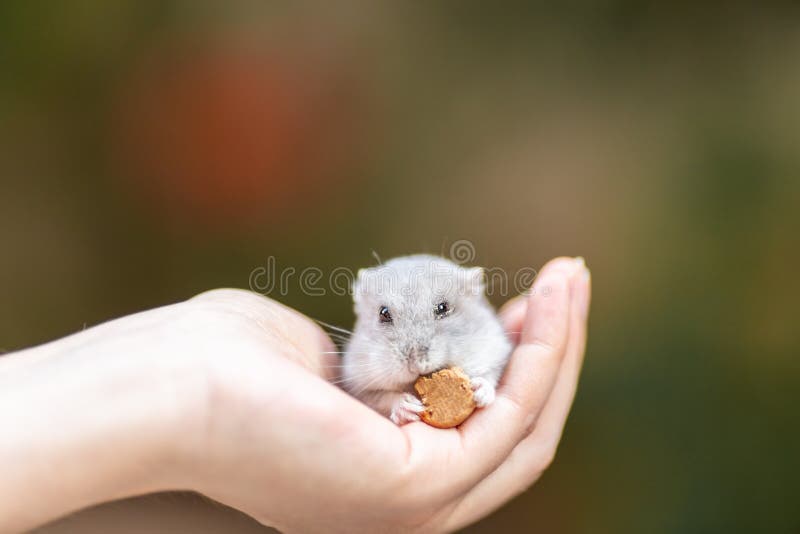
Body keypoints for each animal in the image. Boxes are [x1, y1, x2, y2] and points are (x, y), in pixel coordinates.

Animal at [342, 254, 512, 425]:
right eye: (383, 313)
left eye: (443, 308)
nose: (416, 365)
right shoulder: (359, 387)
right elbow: (381, 398)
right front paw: (407, 406)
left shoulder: (496, 350)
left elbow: (490, 374)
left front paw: (478, 391)